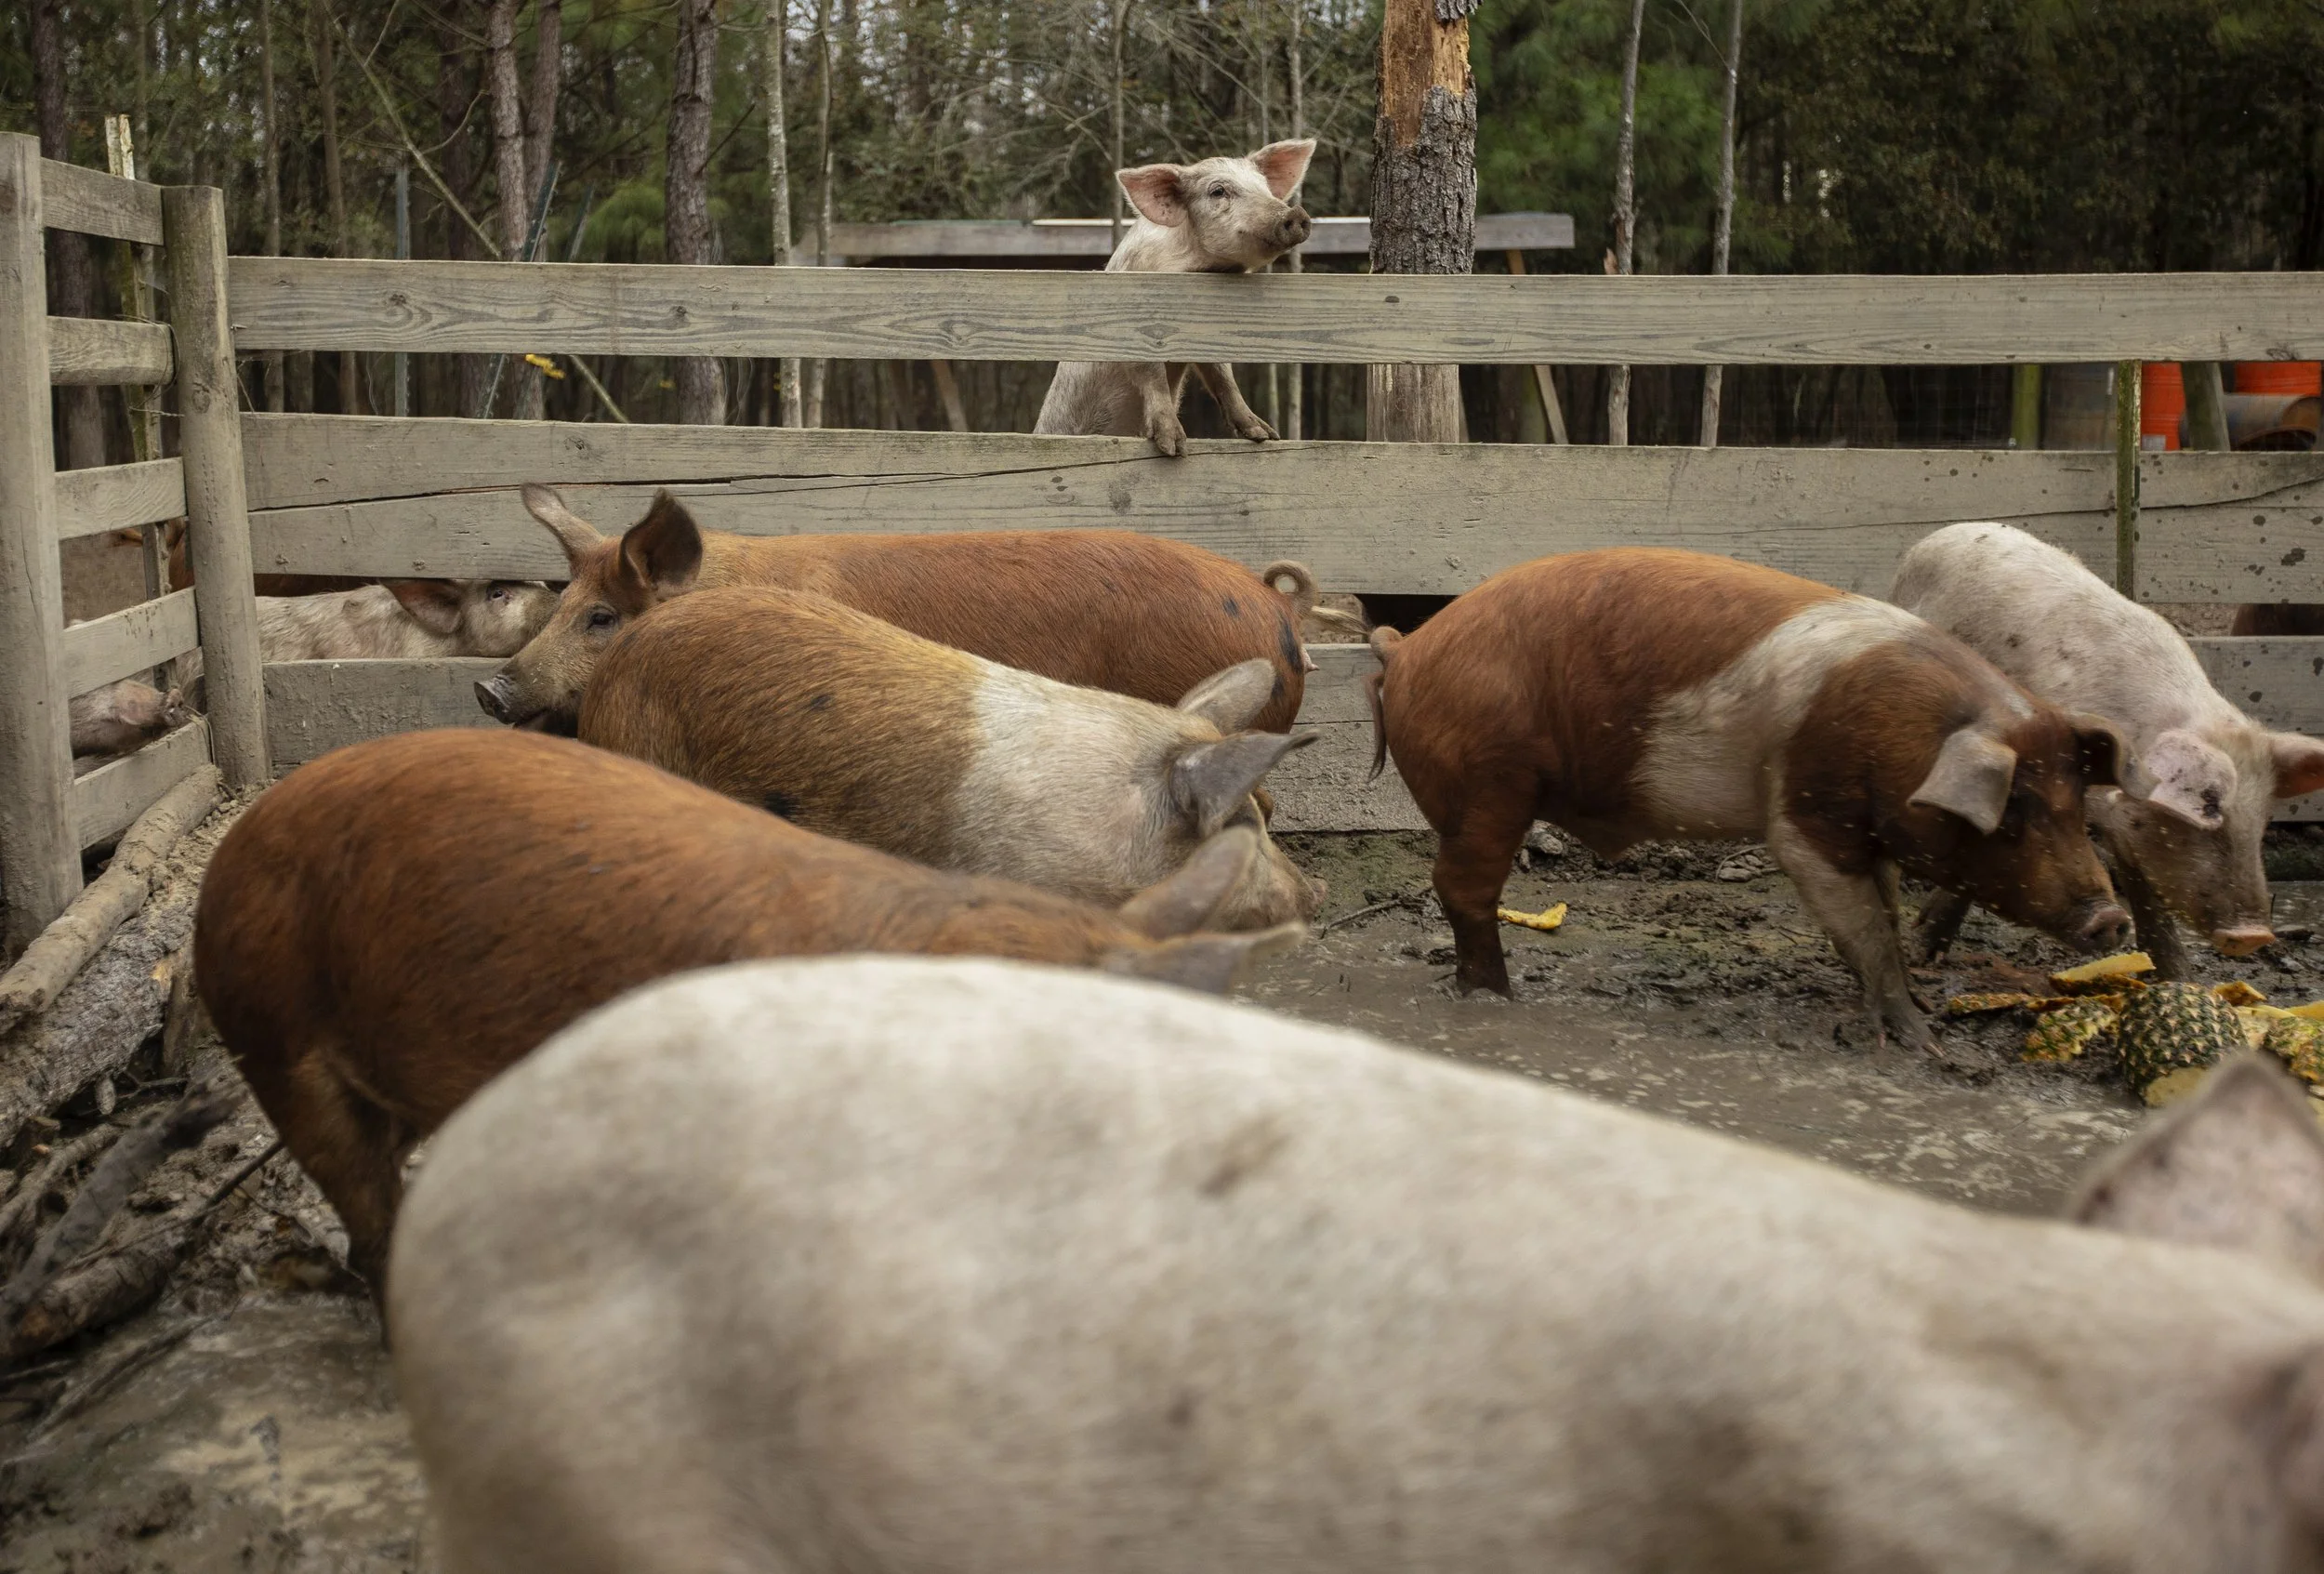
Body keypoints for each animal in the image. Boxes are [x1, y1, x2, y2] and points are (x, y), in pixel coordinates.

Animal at [1032, 140, 1316, 457]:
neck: (1197, 271)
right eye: (1218, 191)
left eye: (1264, 188)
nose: (1294, 214)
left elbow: (1223, 376)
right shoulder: (1134, 332)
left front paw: (1265, 436)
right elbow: (1153, 374)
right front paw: (1175, 448)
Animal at [1365, 548, 2132, 1049]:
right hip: (1490, 781)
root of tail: (1407, 649)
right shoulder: (1806, 813)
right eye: (2014, 813)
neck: (1908, 741)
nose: (2112, 918)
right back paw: (1497, 996)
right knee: (1464, 888)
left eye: (2075, 805)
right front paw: (1924, 1044)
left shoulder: (1869, 830)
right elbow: (1863, 926)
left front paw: (1922, 1010)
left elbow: (1886, 910)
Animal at [1891, 522, 2324, 978]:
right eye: (2207, 809)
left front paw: (2181, 980)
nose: (2253, 934)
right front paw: (1924, 955)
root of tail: (1953, 530)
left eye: (2261, 820)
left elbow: (2144, 890)